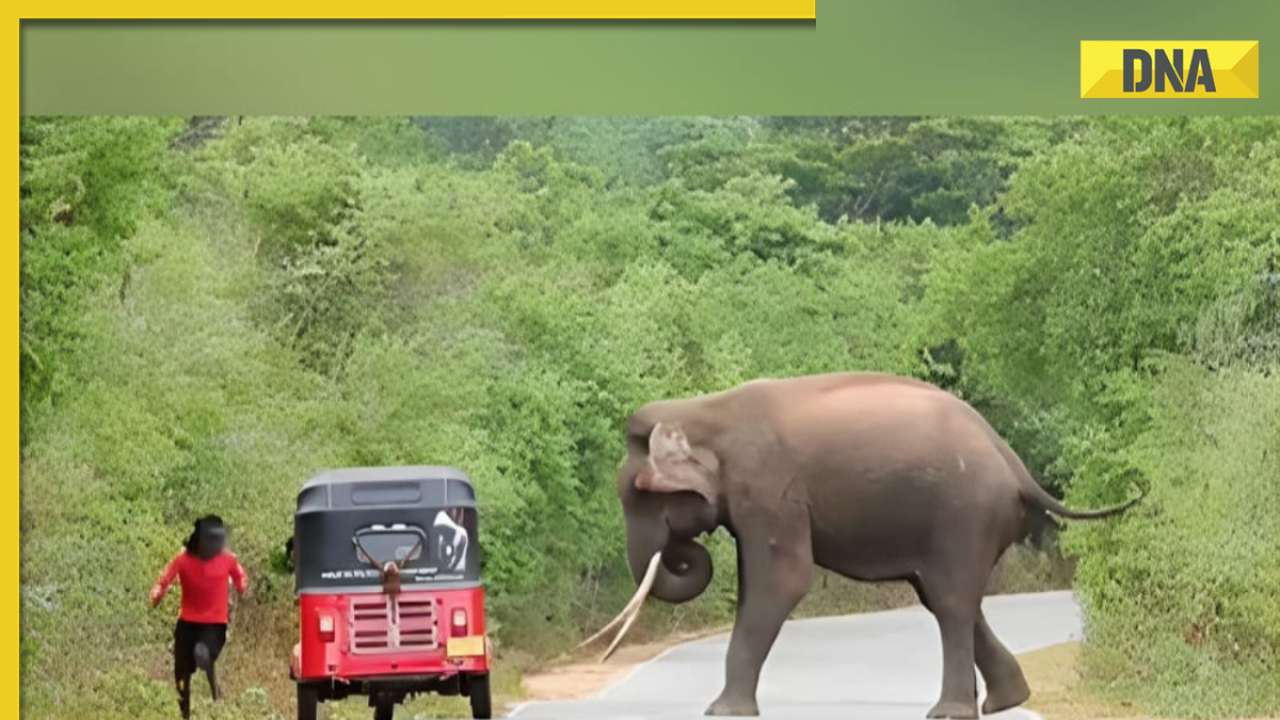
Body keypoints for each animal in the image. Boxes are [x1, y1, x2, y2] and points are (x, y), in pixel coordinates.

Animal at [589, 373, 1139, 719]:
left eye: (636, 495)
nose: (682, 550)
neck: (702, 410)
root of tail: (1015, 465)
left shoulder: (769, 489)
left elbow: (784, 582)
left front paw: (721, 712)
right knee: (944, 598)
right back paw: (1005, 702)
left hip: (965, 513)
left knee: (951, 600)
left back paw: (950, 713)